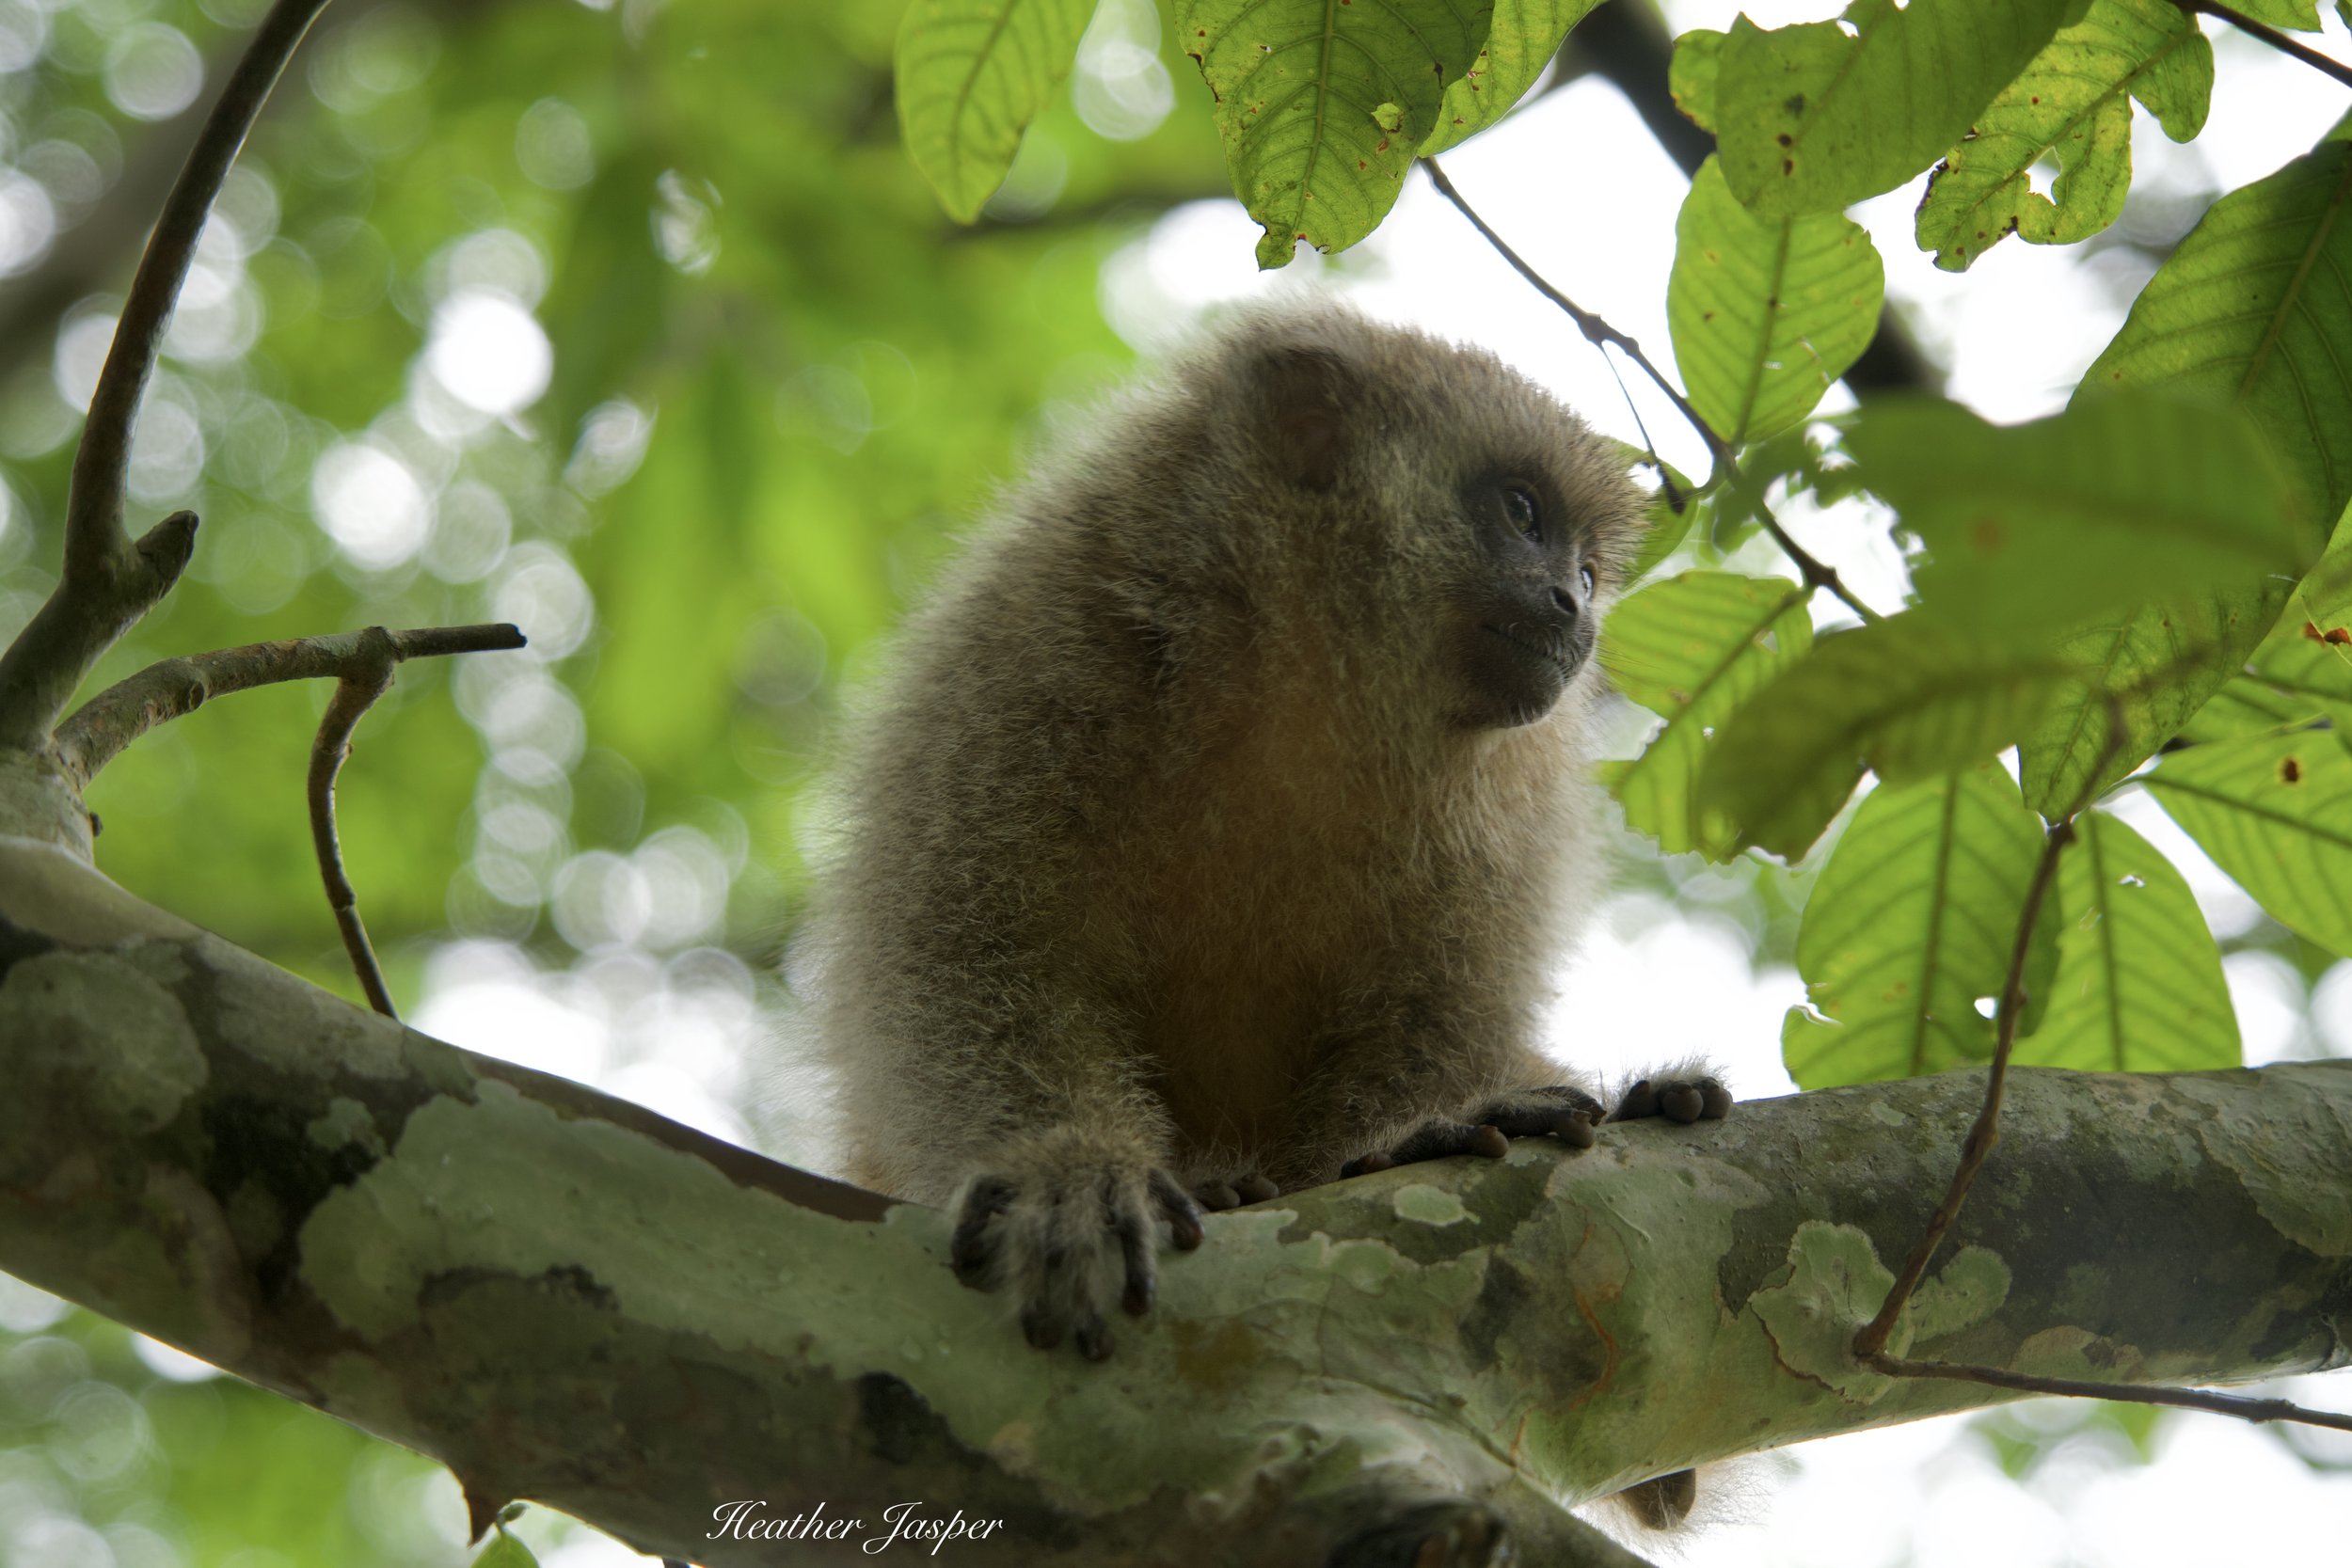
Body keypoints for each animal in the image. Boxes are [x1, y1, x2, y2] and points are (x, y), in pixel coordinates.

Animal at [801, 299, 1730, 1379]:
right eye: (1521, 512)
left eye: (1588, 567)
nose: (1576, 607)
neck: (1298, 683)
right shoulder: (1034, 634)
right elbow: (961, 947)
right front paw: (1069, 1169)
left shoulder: (1519, 792)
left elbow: (1438, 999)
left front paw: (1410, 1133)